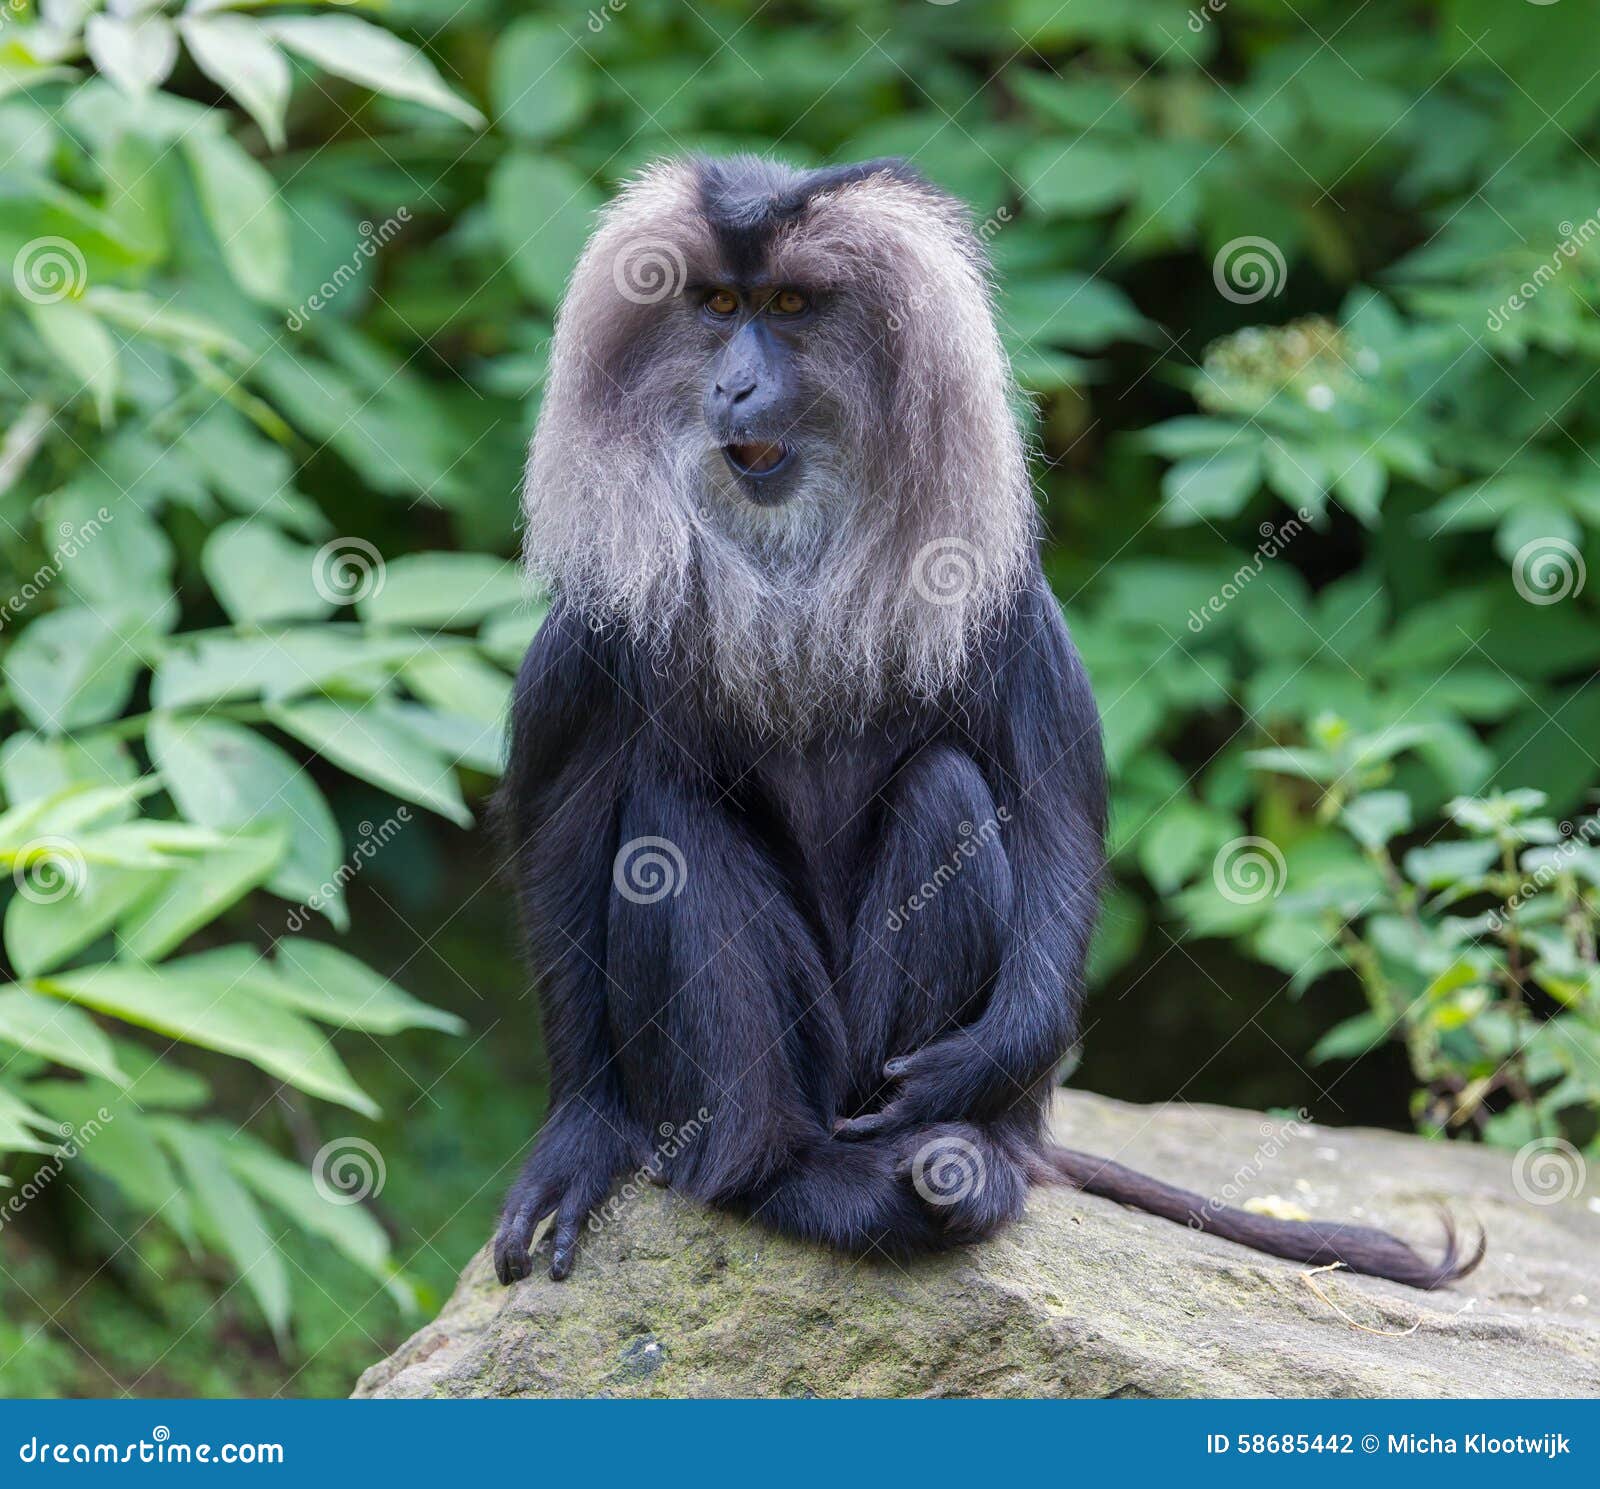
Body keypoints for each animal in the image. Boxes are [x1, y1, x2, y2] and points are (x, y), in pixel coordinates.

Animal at [491, 155, 1483, 1291]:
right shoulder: (593, 632)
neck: (789, 559)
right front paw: (580, 1135)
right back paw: (796, 1178)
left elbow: (1052, 808)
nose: (732, 388)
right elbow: (563, 834)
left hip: (880, 1078)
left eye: (787, 308)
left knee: (946, 791)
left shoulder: (997, 589)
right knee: (667, 824)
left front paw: (988, 1052)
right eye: (718, 309)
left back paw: (957, 1160)